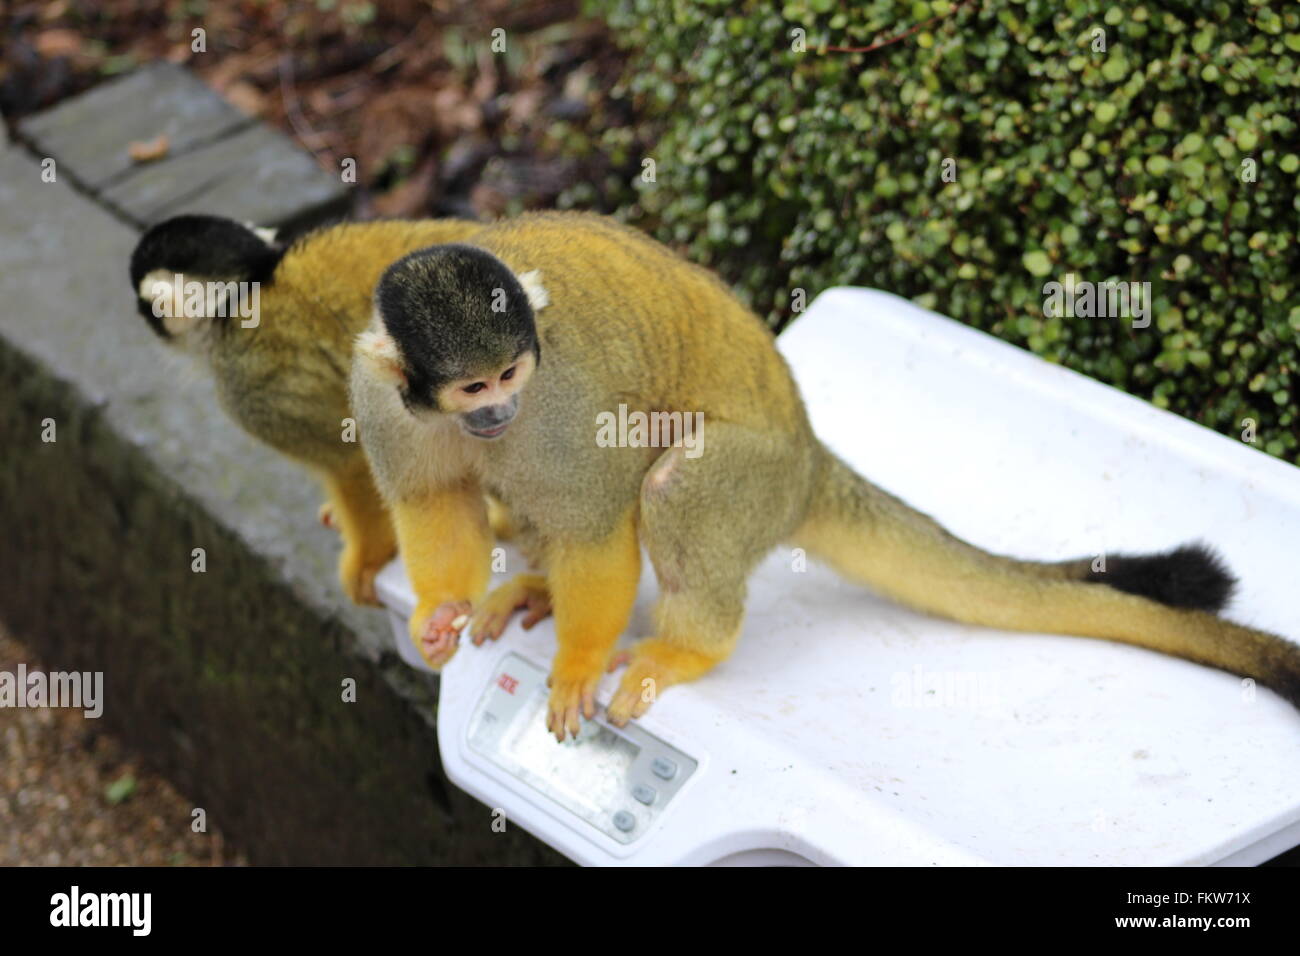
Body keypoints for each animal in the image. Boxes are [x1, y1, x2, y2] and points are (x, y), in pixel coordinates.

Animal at [349, 210, 1300, 742]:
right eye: (473, 387)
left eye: (510, 376)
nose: (498, 413)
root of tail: (809, 453)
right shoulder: (382, 396)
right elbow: (432, 498)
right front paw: (438, 613)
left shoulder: (556, 406)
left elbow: (596, 518)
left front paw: (577, 663)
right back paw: (535, 587)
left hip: (761, 479)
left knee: (668, 487)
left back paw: (691, 647)